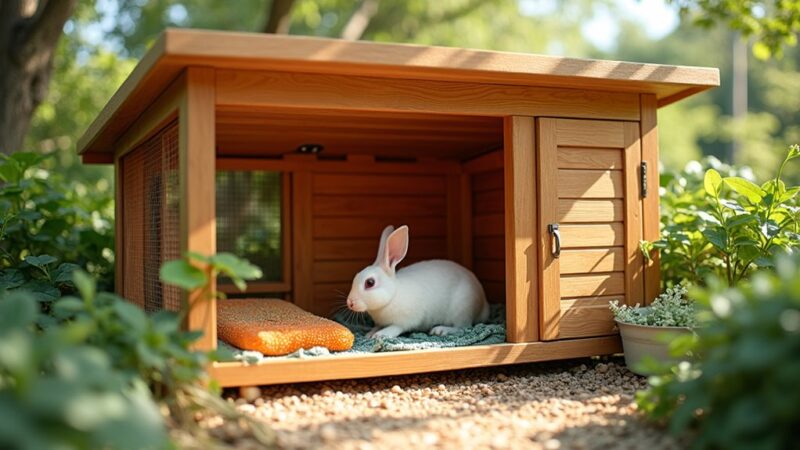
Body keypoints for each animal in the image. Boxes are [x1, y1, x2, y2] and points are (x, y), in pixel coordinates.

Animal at [345, 224, 490, 339]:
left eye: (370, 282)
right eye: (356, 277)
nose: (350, 302)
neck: (393, 296)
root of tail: (483, 305)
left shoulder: (406, 320)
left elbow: (396, 328)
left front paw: (381, 335)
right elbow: (377, 326)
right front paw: (370, 333)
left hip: (461, 309)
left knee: (463, 327)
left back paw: (441, 330)